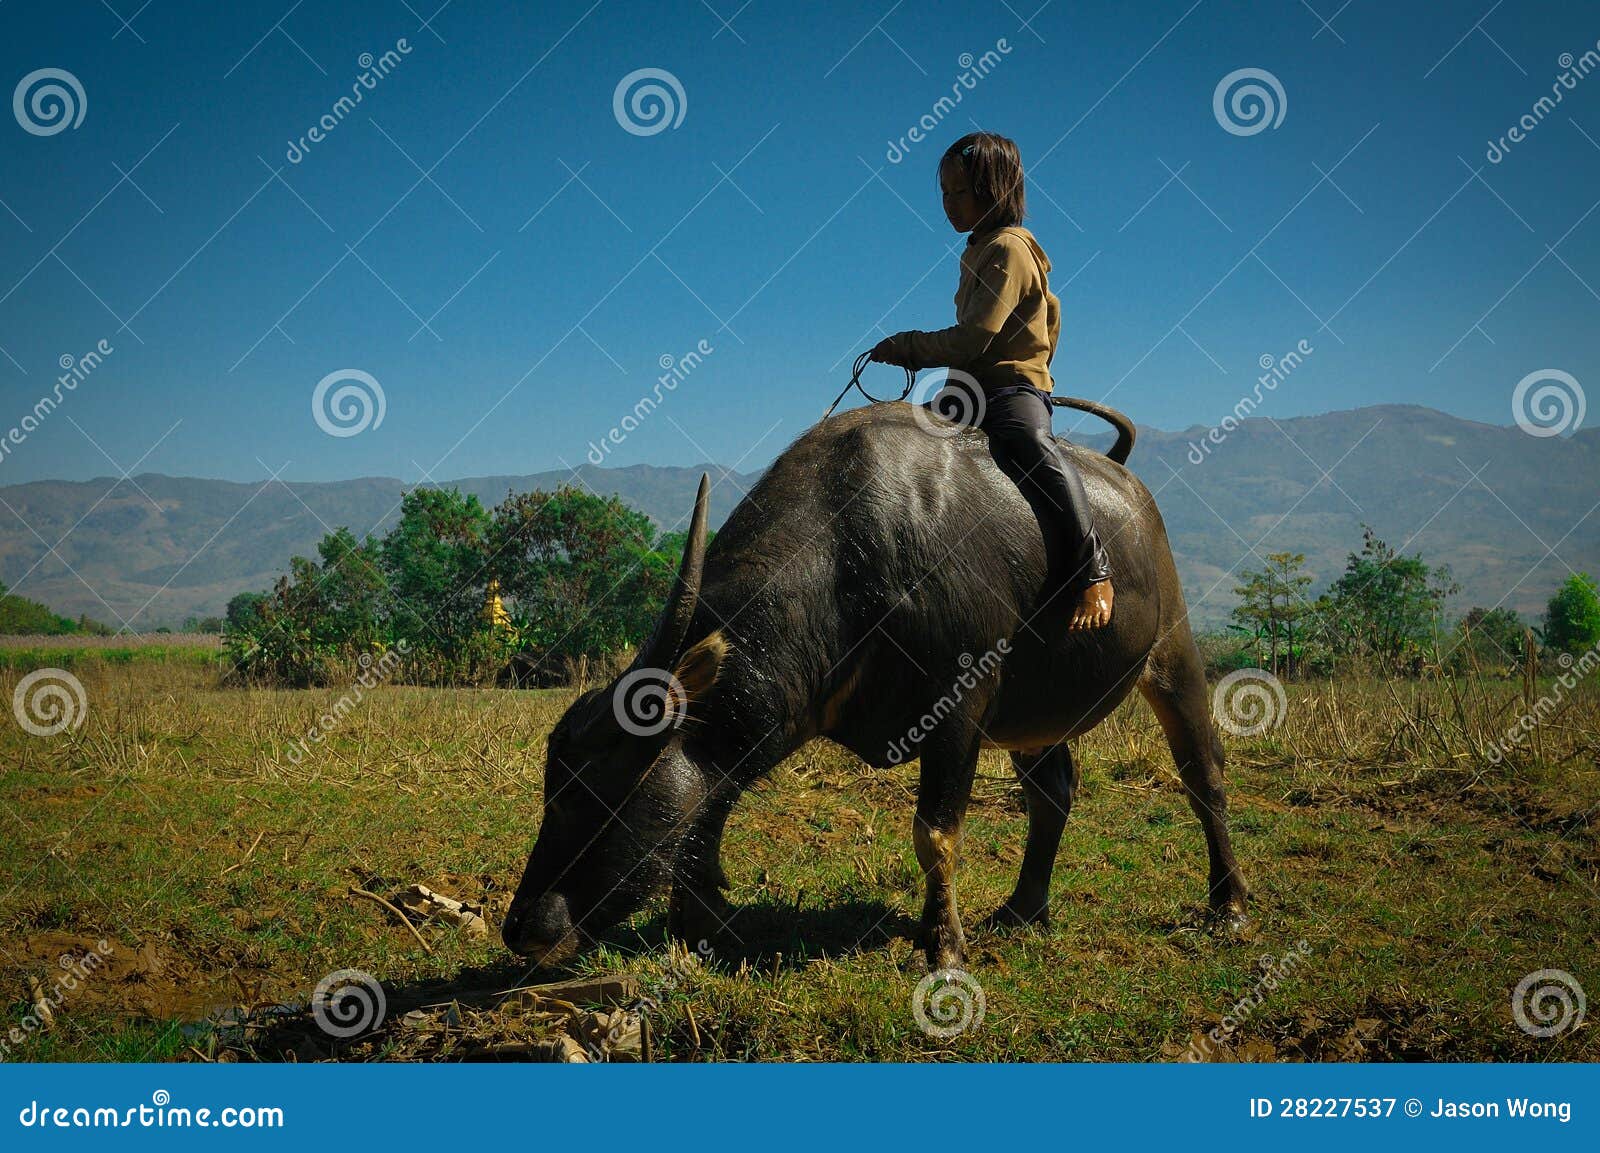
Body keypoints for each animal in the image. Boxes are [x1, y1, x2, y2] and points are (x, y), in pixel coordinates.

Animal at [503, 399, 1248, 972]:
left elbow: (935, 833)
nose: (524, 927)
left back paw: (1230, 902)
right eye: (552, 782)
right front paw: (701, 923)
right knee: (1053, 793)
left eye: (587, 785)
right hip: (1036, 711)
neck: (850, 560)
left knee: (1202, 771)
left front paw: (942, 945)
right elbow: (704, 809)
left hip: (1173, 652)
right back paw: (1023, 907)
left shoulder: (959, 710)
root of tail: (1130, 485)